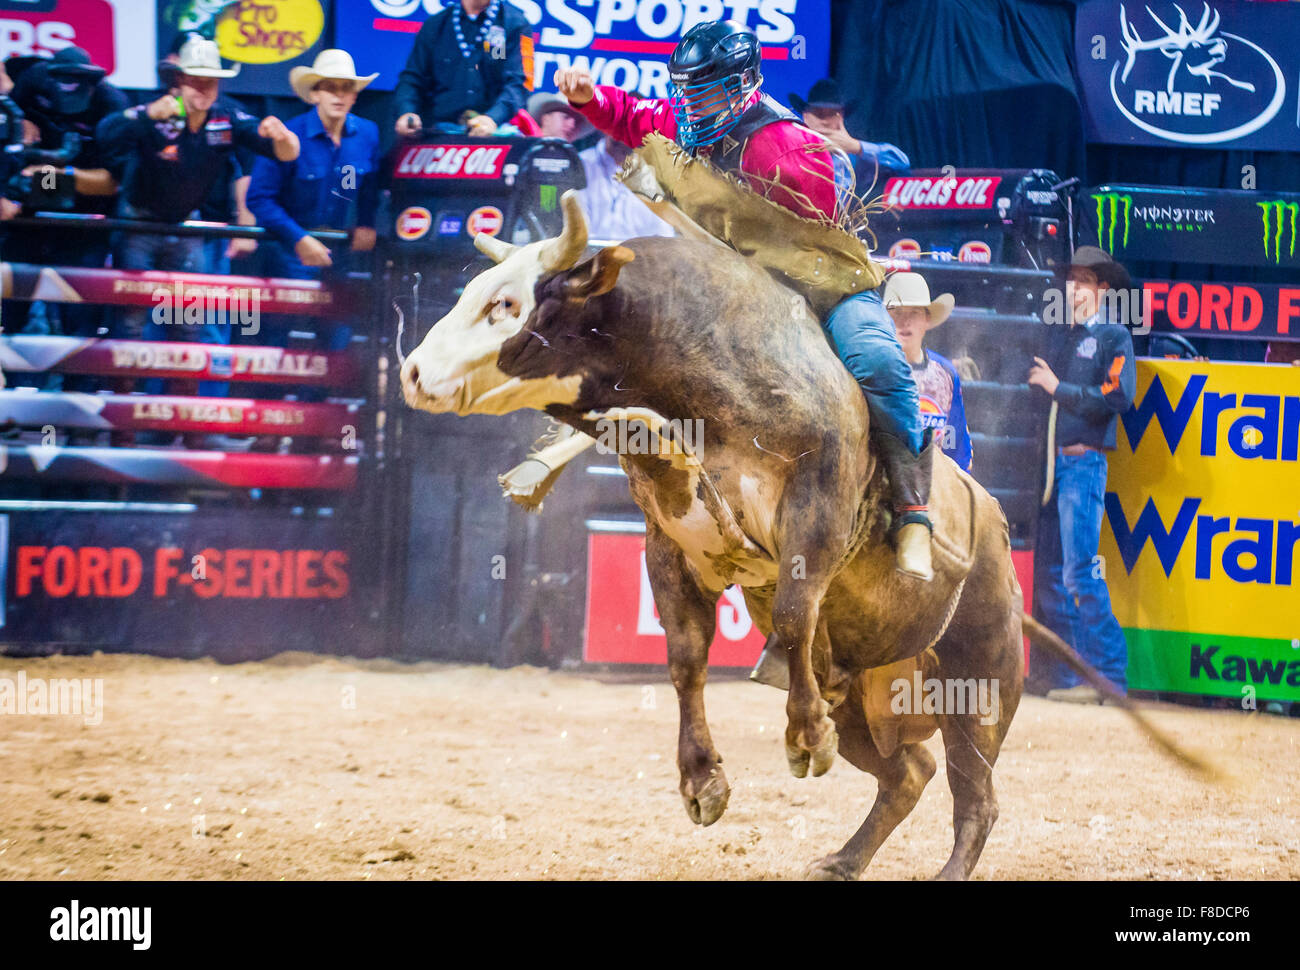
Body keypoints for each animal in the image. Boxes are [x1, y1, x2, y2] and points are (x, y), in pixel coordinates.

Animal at [399, 191, 1208, 879]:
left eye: (506, 303)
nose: (411, 372)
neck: (693, 370)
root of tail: (1005, 554)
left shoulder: (814, 511)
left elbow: (792, 613)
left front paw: (801, 740)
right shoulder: (669, 541)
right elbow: (686, 657)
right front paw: (703, 782)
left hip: (977, 684)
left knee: (976, 797)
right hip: (866, 700)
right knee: (909, 773)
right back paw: (842, 859)